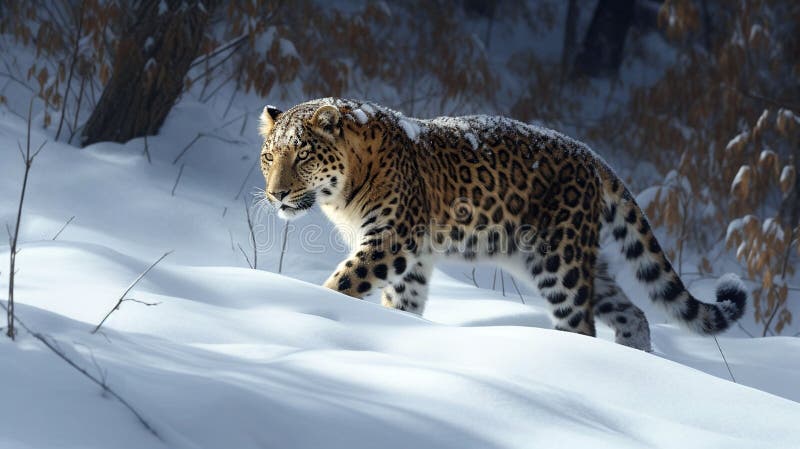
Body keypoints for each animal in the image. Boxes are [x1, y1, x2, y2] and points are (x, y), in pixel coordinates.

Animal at [257, 97, 748, 351]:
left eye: (302, 156)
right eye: (269, 157)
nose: (276, 194)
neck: (341, 193)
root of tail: (592, 156)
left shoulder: (392, 239)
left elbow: (344, 281)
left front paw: (311, 308)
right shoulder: (413, 259)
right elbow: (402, 303)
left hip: (559, 260)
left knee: (581, 321)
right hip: (575, 261)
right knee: (633, 311)